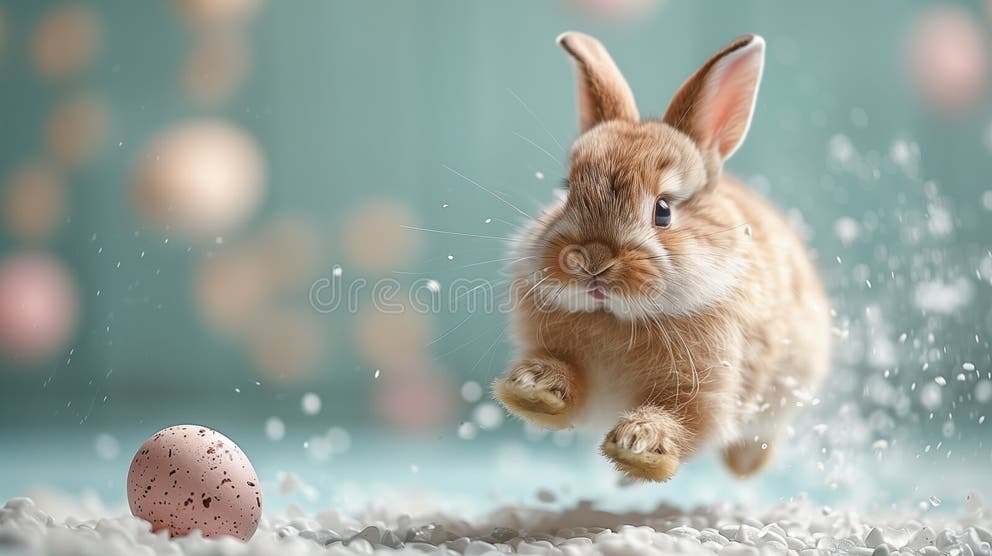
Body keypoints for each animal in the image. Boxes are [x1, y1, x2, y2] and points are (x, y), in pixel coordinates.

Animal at [493, 32, 831, 482]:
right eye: (567, 193)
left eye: (663, 210)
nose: (593, 261)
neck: (617, 319)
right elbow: (568, 382)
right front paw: (531, 389)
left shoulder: (705, 391)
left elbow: (682, 421)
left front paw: (637, 444)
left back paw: (744, 467)